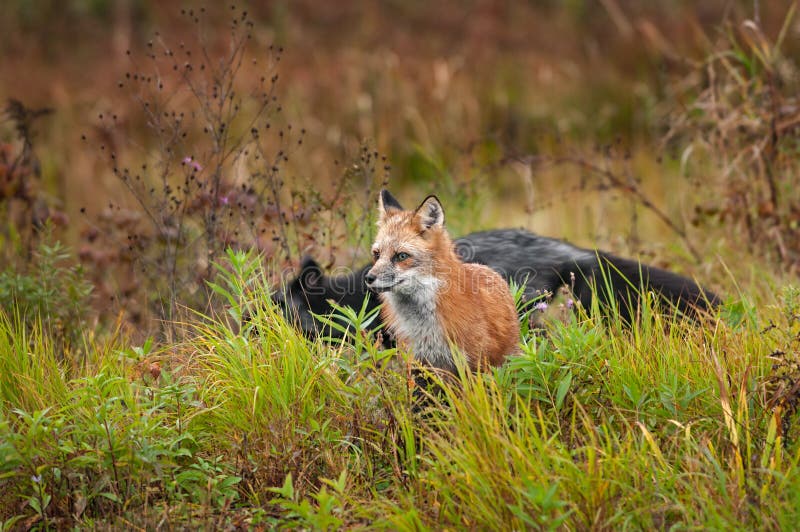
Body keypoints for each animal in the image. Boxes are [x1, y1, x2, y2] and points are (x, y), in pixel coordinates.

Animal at [365, 189, 520, 374]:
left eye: (402, 256)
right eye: (377, 254)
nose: (369, 278)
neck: (425, 326)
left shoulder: (475, 363)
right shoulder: (419, 362)